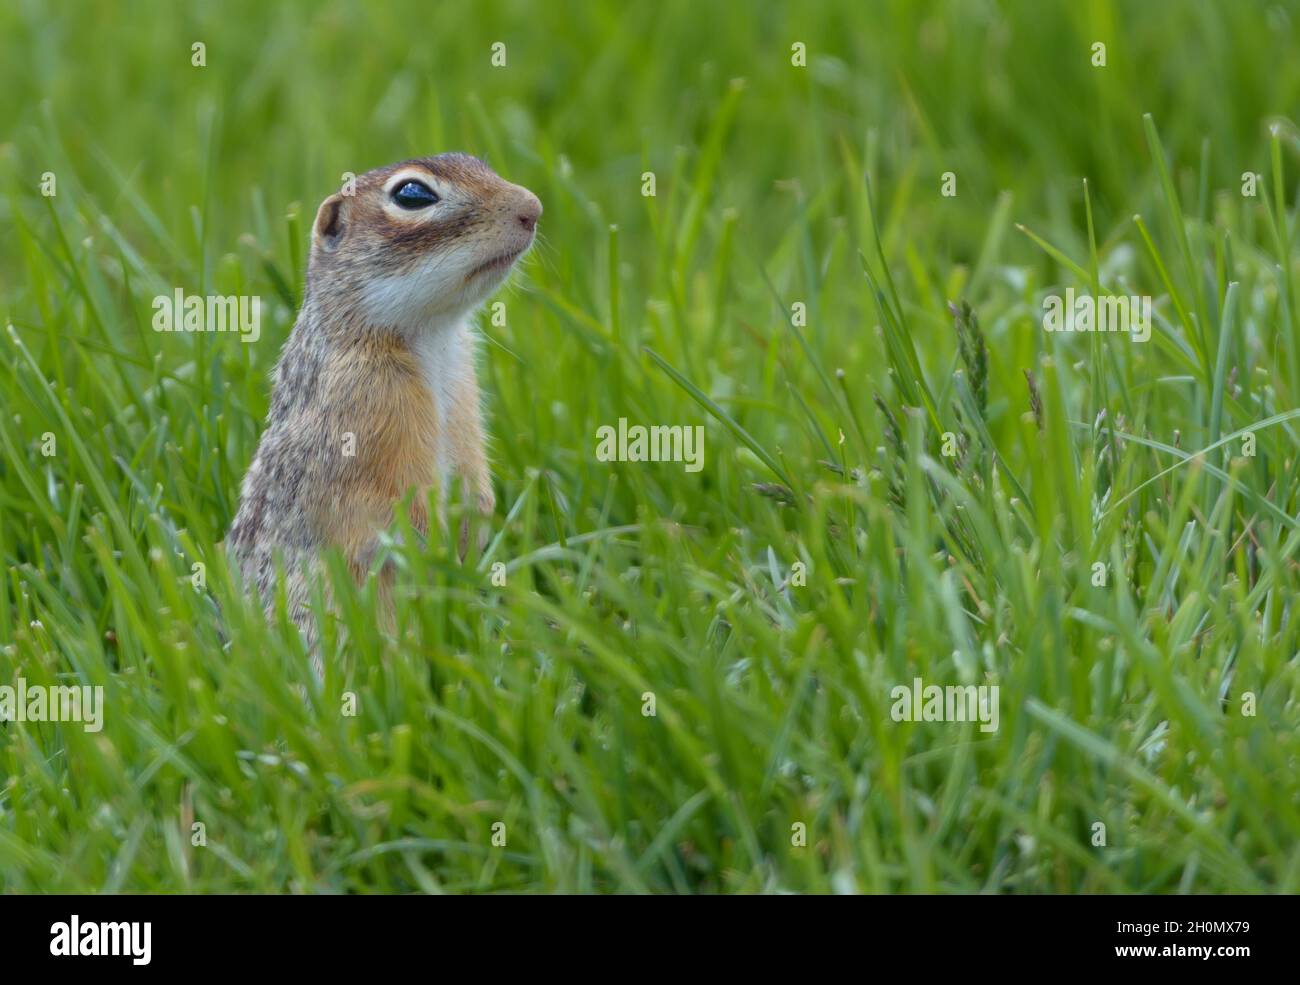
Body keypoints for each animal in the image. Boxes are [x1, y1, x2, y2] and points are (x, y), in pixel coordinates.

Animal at [227, 154, 541, 646]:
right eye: (412, 194)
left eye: (480, 162)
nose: (533, 208)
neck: (432, 336)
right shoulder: (366, 414)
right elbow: (392, 506)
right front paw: (436, 548)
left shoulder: (463, 395)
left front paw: (475, 528)